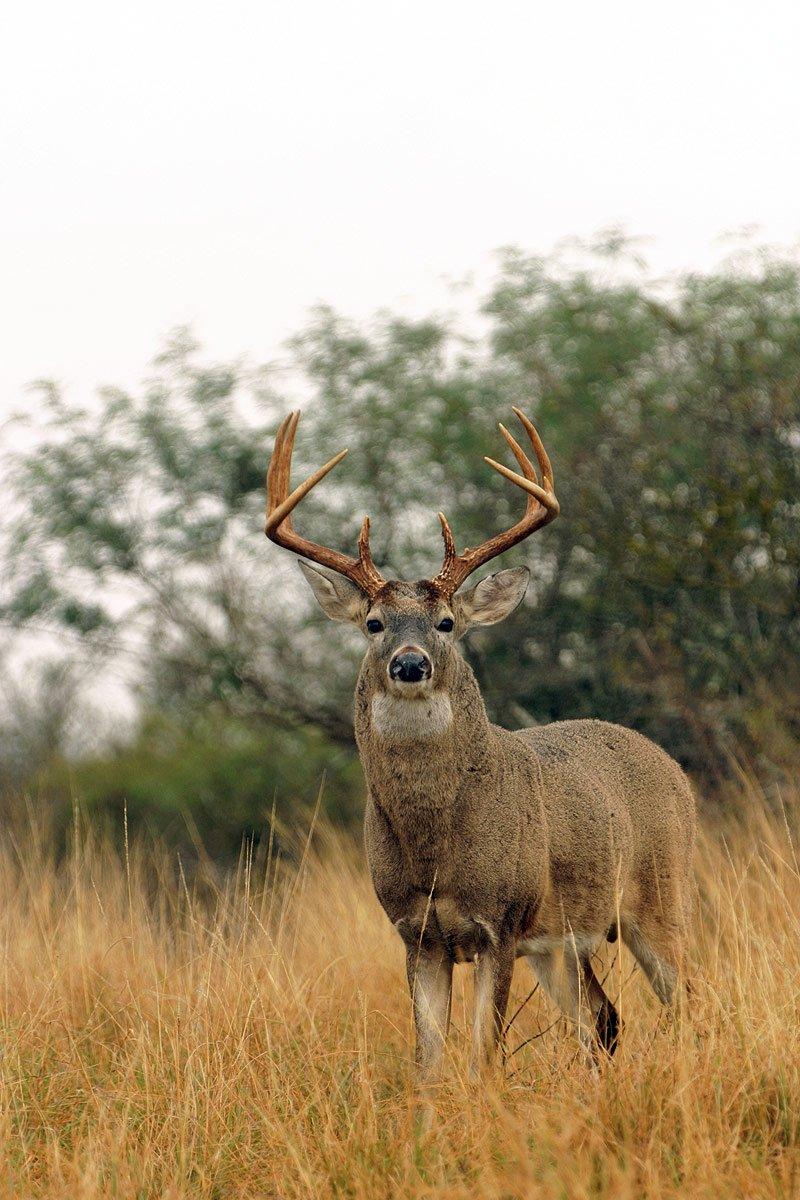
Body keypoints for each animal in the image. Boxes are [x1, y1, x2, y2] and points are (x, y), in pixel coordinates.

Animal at [262, 408, 695, 1099]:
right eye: (374, 624)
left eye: (446, 623)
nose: (409, 664)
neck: (437, 846)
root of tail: (674, 769)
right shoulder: (417, 933)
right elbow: (428, 1062)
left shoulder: (501, 923)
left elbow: (481, 1056)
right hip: (560, 944)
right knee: (603, 1021)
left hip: (661, 896)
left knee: (685, 1004)